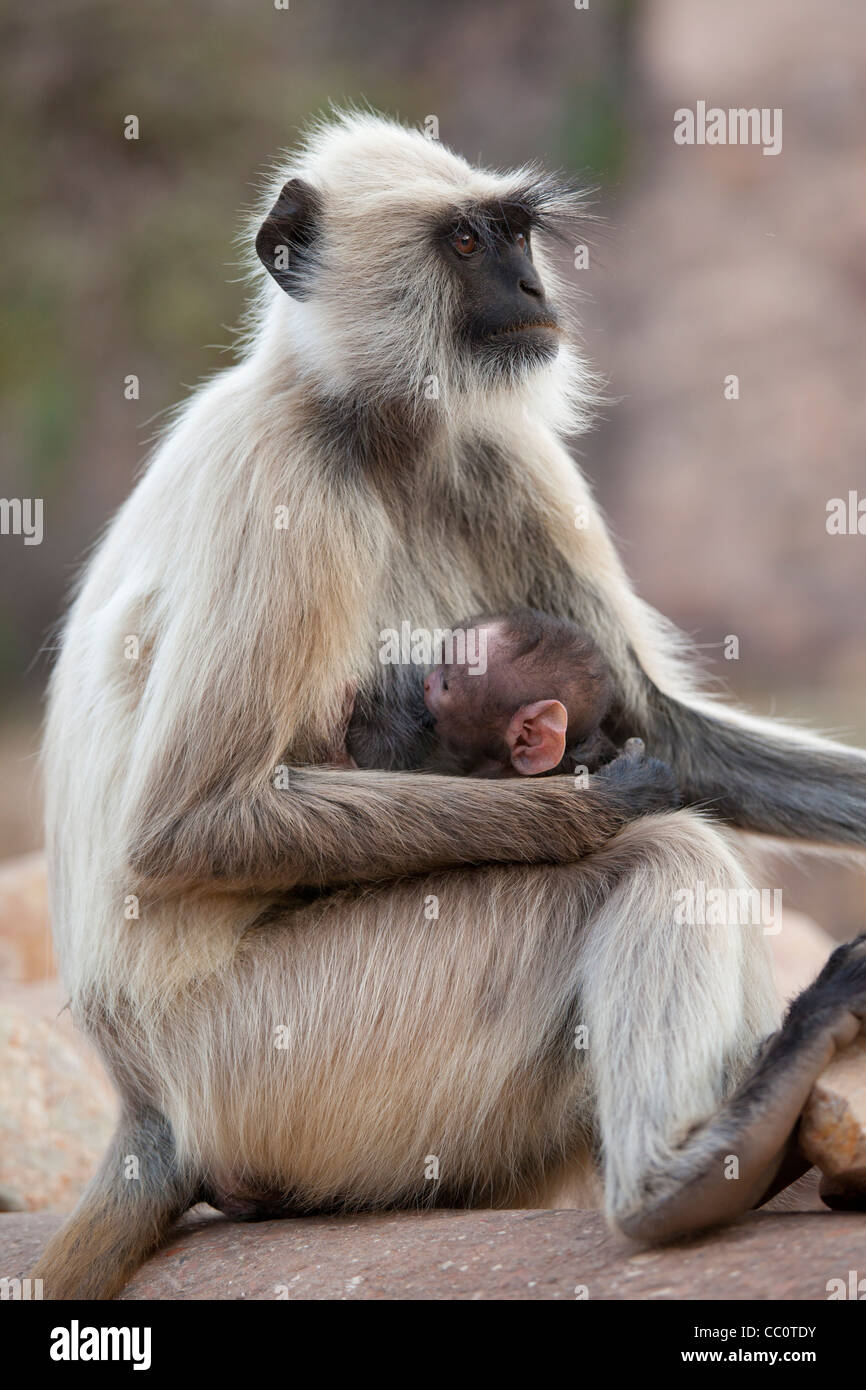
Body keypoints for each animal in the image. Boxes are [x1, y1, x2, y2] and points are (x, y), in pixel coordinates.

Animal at [33, 112, 866, 1299]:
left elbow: (673, 733)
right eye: (467, 243)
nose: (530, 282)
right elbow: (186, 828)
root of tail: (146, 1101)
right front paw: (603, 798)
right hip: (273, 1052)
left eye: (517, 234)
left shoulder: (501, 453)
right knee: (663, 856)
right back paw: (682, 1181)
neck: (368, 428)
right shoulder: (284, 479)